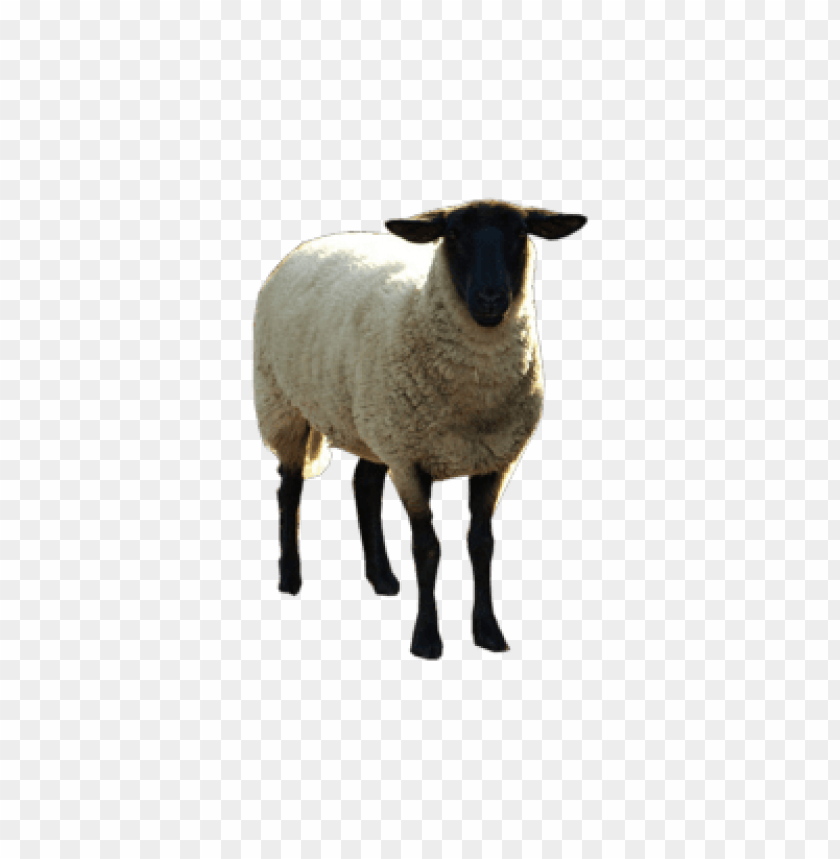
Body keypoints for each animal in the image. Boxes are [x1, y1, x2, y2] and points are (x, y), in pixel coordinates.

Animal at [254, 199, 587, 659]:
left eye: (520, 234)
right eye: (454, 234)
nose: (490, 297)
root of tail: (315, 242)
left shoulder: (493, 461)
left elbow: (481, 544)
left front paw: (488, 631)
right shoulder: (411, 463)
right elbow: (427, 548)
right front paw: (427, 638)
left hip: (373, 423)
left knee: (364, 485)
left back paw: (382, 579)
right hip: (284, 404)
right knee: (289, 490)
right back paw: (290, 578)